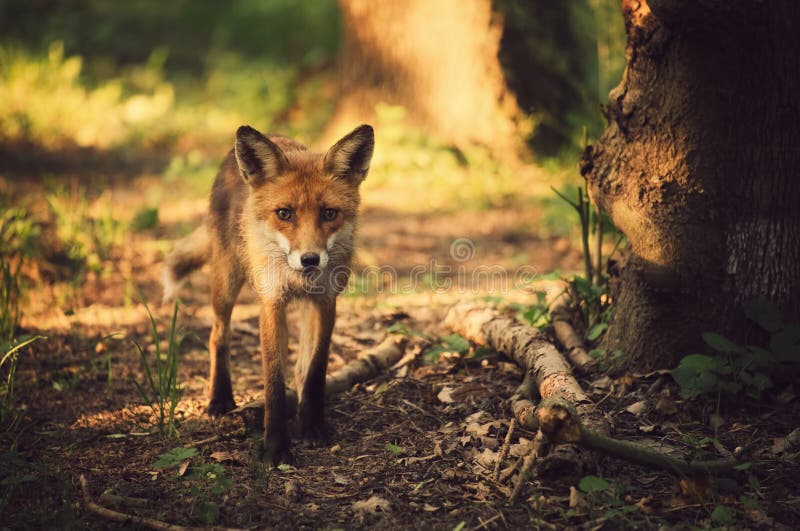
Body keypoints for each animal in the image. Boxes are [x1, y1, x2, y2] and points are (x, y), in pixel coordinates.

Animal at [162, 124, 375, 463]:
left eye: (329, 213)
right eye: (284, 213)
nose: (310, 259)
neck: (297, 280)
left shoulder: (325, 301)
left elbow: (315, 370)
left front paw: (311, 426)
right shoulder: (271, 303)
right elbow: (273, 381)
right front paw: (275, 445)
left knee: (299, 368)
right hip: (226, 281)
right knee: (218, 336)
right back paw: (220, 399)